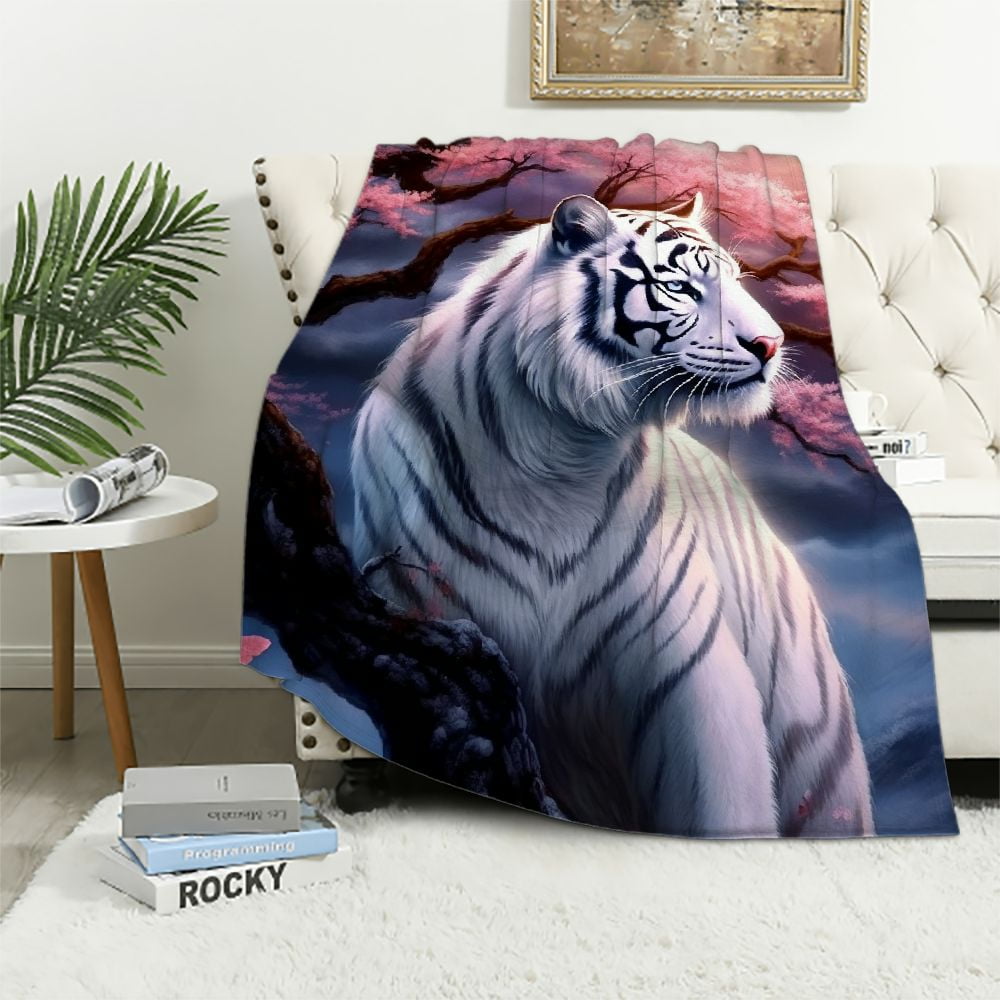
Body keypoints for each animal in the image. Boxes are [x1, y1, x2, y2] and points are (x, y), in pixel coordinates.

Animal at [351, 192, 874, 837]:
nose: (772, 344)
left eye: (733, 280)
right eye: (681, 286)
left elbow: (722, 797)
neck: (557, 453)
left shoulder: (688, 667)